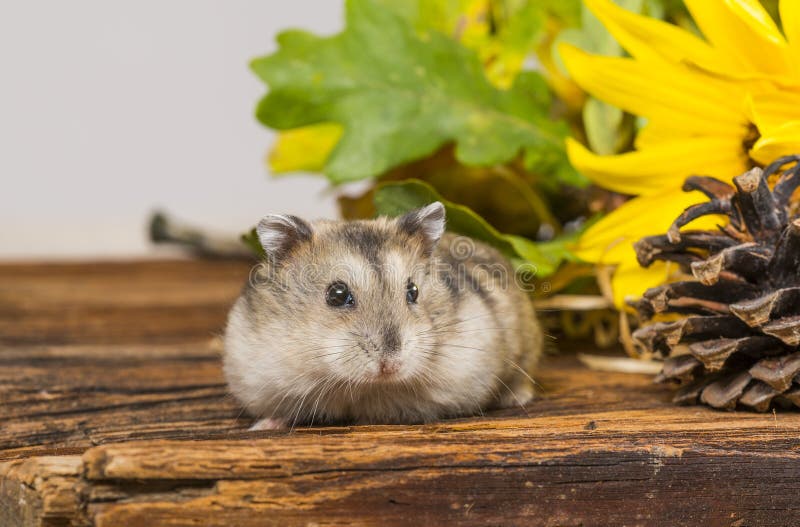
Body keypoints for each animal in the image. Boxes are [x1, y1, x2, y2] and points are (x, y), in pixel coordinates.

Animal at [223, 202, 543, 430]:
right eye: (336, 294)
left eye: (413, 291)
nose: (391, 365)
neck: (360, 385)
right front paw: (262, 426)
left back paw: (515, 398)